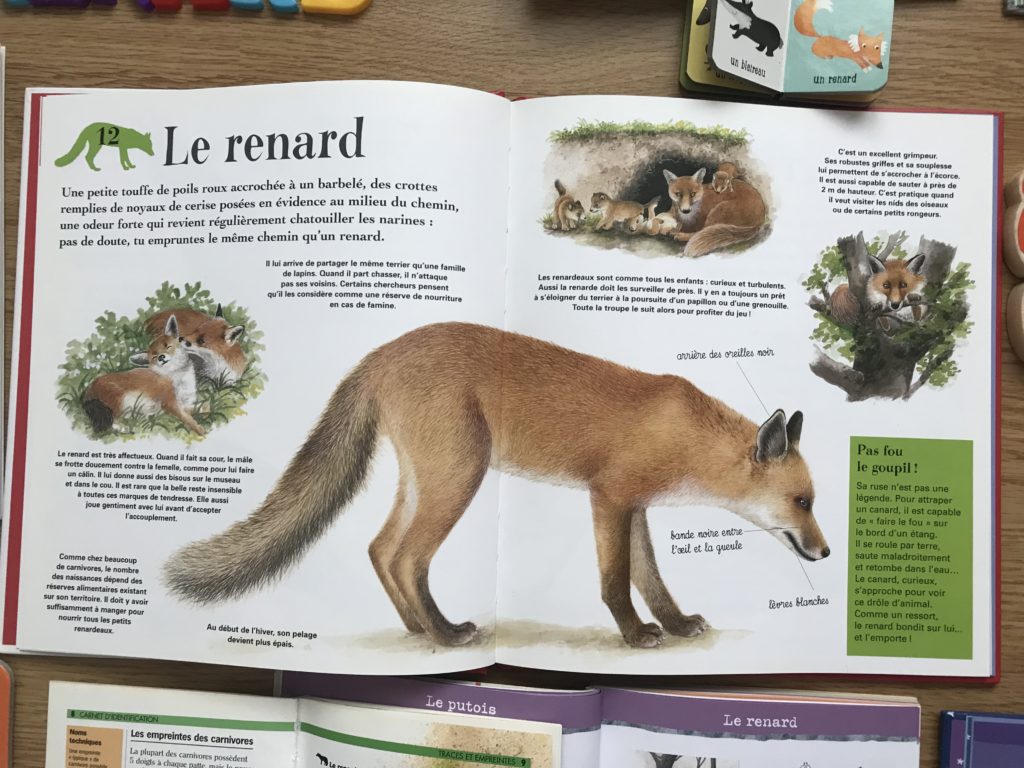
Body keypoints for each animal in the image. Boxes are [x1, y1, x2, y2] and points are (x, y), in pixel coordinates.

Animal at [163, 322, 829, 649]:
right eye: (803, 502)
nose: (824, 551)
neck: (686, 434)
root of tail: (380, 353)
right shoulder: (610, 497)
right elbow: (617, 582)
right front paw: (637, 634)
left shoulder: (633, 505)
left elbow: (651, 578)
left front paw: (675, 623)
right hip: (461, 475)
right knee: (406, 557)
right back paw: (444, 632)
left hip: (426, 477)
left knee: (378, 548)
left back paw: (416, 629)